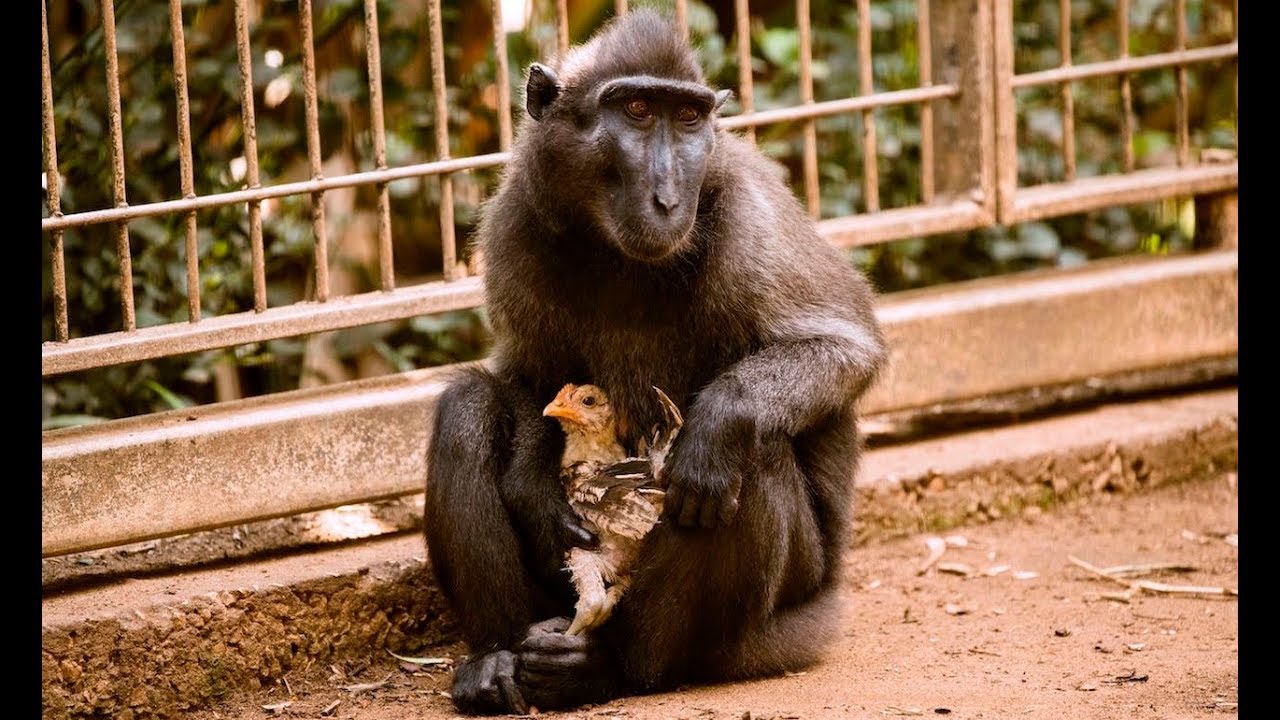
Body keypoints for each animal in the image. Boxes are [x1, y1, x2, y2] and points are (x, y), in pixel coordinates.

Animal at [423, 8, 887, 715]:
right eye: (637, 110)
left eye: (689, 118)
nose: (668, 199)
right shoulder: (514, 223)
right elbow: (527, 375)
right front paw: (532, 482)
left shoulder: (748, 211)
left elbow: (844, 345)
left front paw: (718, 421)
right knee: (467, 407)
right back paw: (496, 658)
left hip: (787, 586)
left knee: (744, 456)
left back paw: (609, 668)